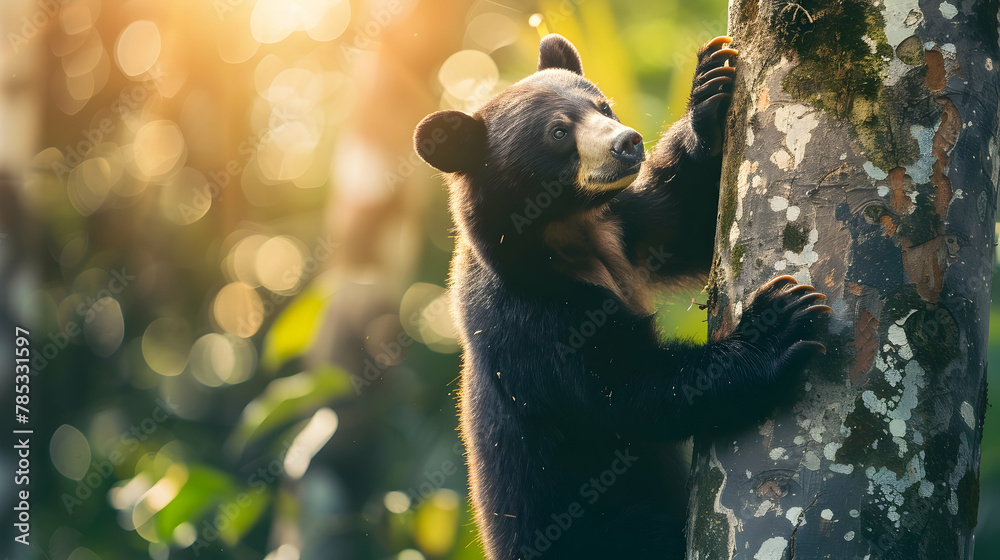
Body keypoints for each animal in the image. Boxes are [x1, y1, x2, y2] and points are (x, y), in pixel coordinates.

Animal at [413, 34, 830, 559]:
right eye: (557, 132)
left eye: (603, 106)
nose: (628, 142)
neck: (568, 235)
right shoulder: (532, 316)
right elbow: (624, 388)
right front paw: (780, 321)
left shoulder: (625, 228)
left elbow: (683, 217)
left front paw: (711, 89)